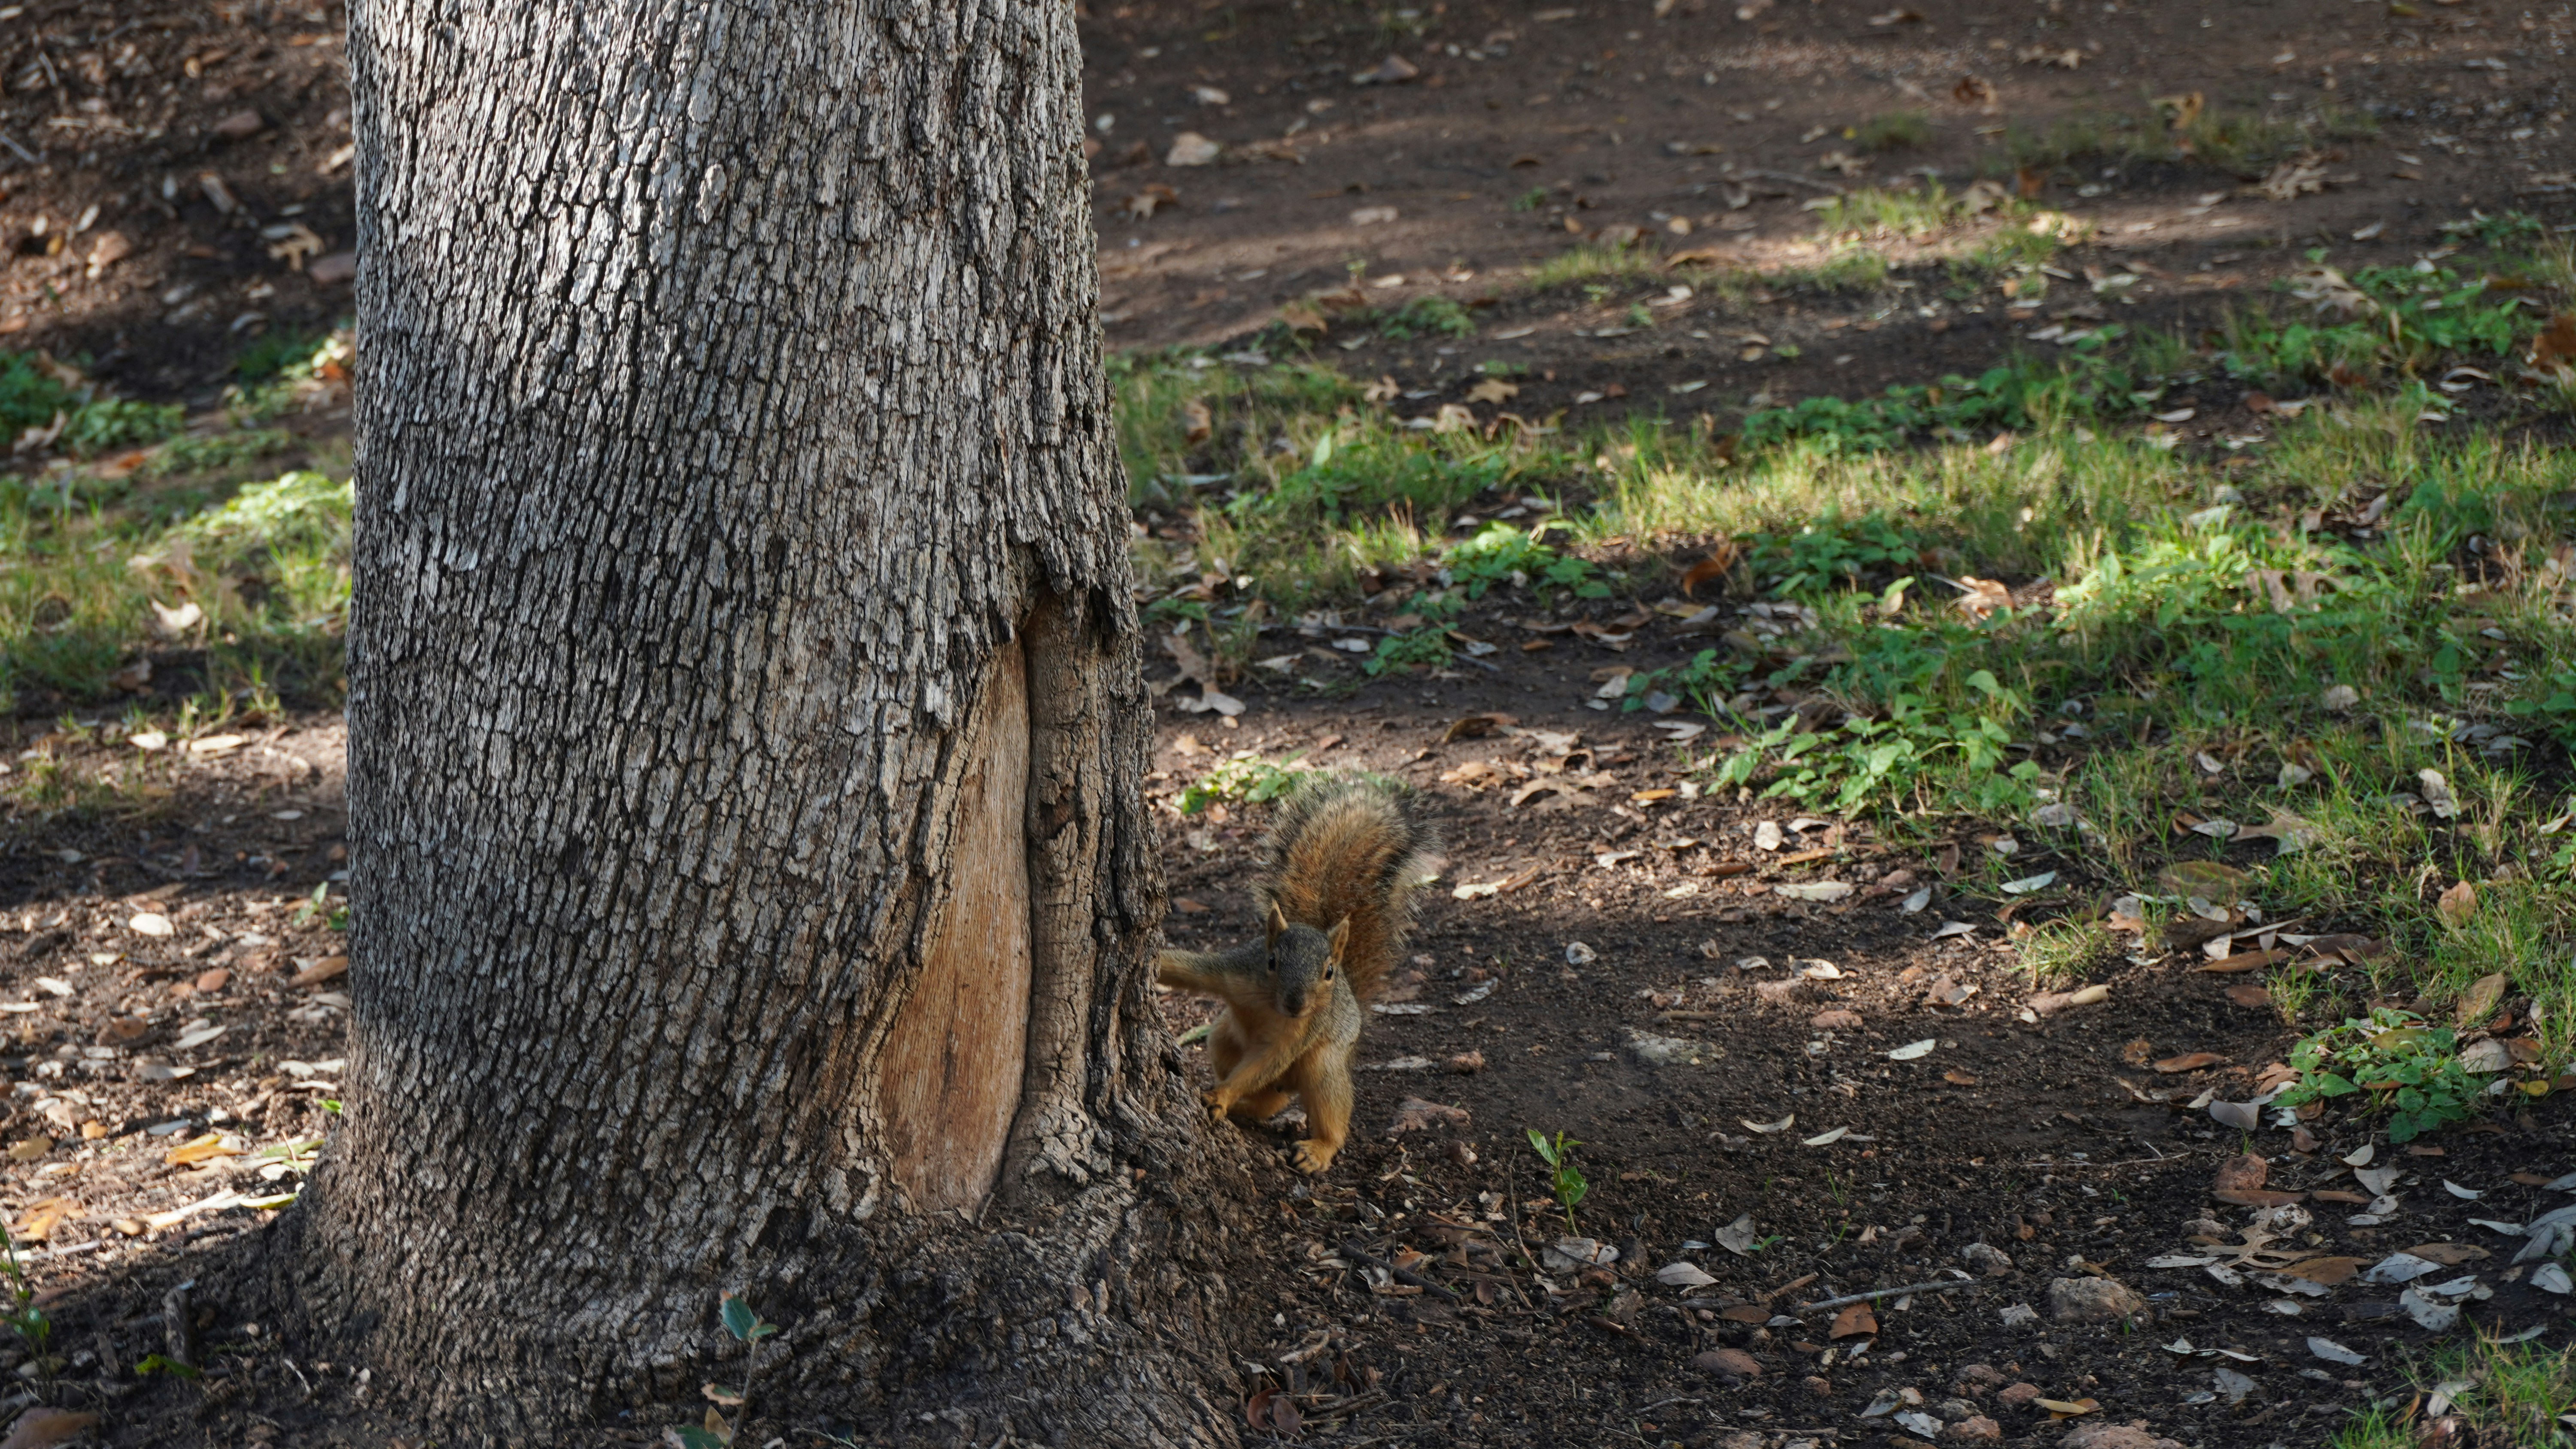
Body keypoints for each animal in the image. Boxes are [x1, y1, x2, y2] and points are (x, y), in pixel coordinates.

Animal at [1156, 775, 1438, 1174]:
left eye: (1328, 972)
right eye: (1272, 962)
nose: (1296, 1003)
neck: (1271, 1006)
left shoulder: (1299, 1033)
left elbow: (1266, 1060)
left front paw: (1222, 1096)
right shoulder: (1234, 973)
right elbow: (1188, 970)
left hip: (1325, 1062)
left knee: (1322, 1107)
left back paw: (1317, 1149)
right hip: (1223, 1037)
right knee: (1266, 1098)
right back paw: (1246, 1107)